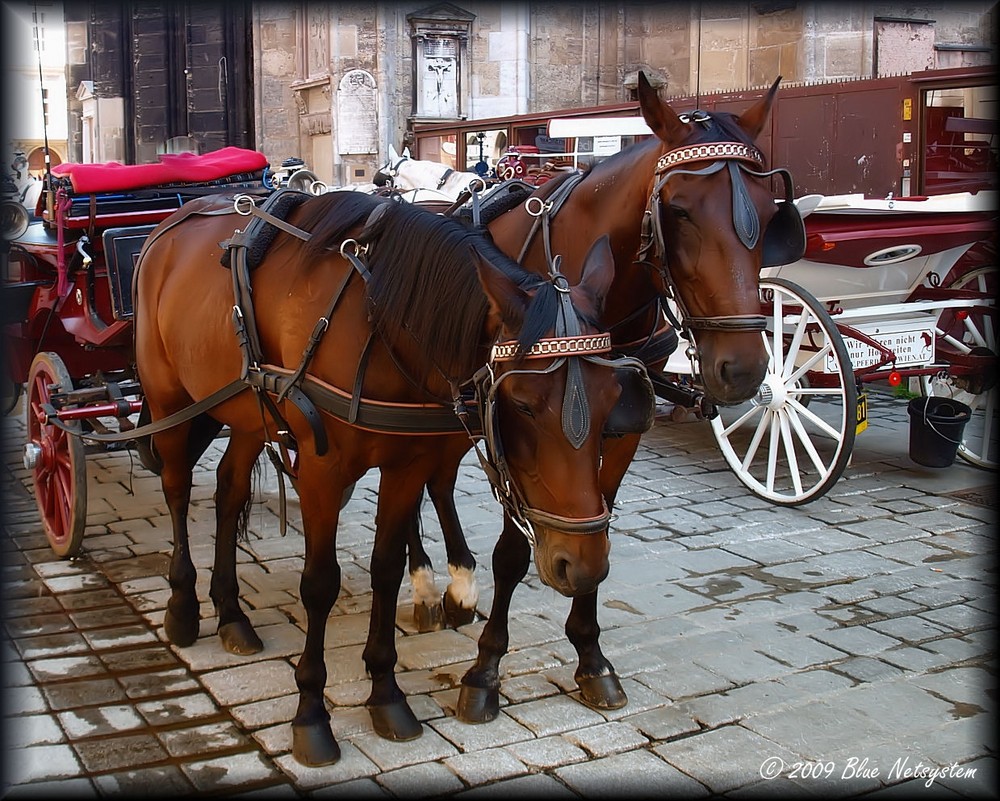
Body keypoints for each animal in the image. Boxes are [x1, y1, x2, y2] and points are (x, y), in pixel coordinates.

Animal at [133, 189, 649, 766]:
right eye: (521, 403)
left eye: (614, 399)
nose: (582, 566)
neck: (379, 326)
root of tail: (177, 218)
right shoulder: (321, 471)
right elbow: (320, 583)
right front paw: (311, 713)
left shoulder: (409, 463)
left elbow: (386, 568)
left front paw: (385, 692)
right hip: (168, 398)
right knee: (177, 488)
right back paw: (183, 606)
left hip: (247, 409)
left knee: (228, 490)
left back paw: (230, 613)